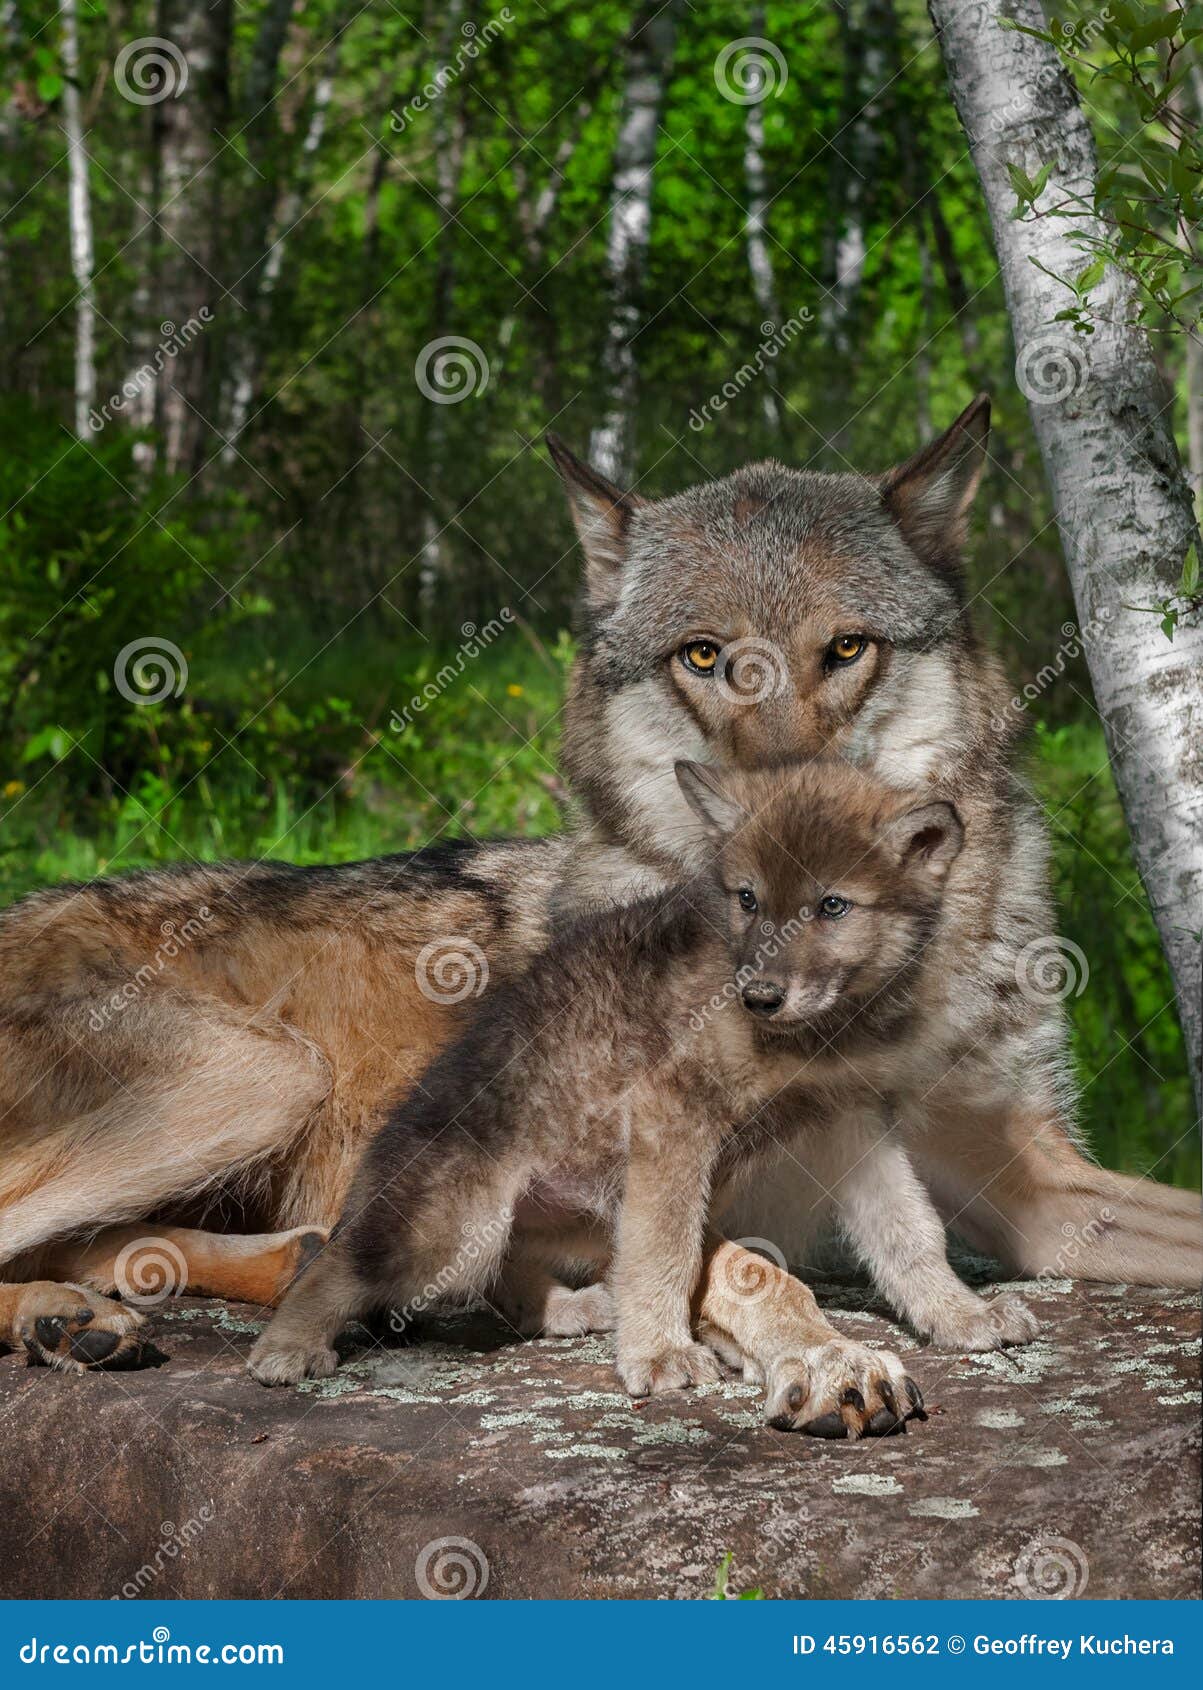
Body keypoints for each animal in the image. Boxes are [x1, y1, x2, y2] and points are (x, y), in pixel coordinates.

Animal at [247, 757, 976, 1438]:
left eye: (832, 906)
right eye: (746, 898)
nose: (759, 995)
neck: (811, 1035)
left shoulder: (852, 1122)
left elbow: (910, 1230)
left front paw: (959, 1312)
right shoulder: (670, 1116)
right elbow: (666, 1252)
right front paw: (658, 1355)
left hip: (562, 1217)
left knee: (508, 1271)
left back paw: (571, 1309)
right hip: (453, 1228)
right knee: (334, 1263)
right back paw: (286, 1349)